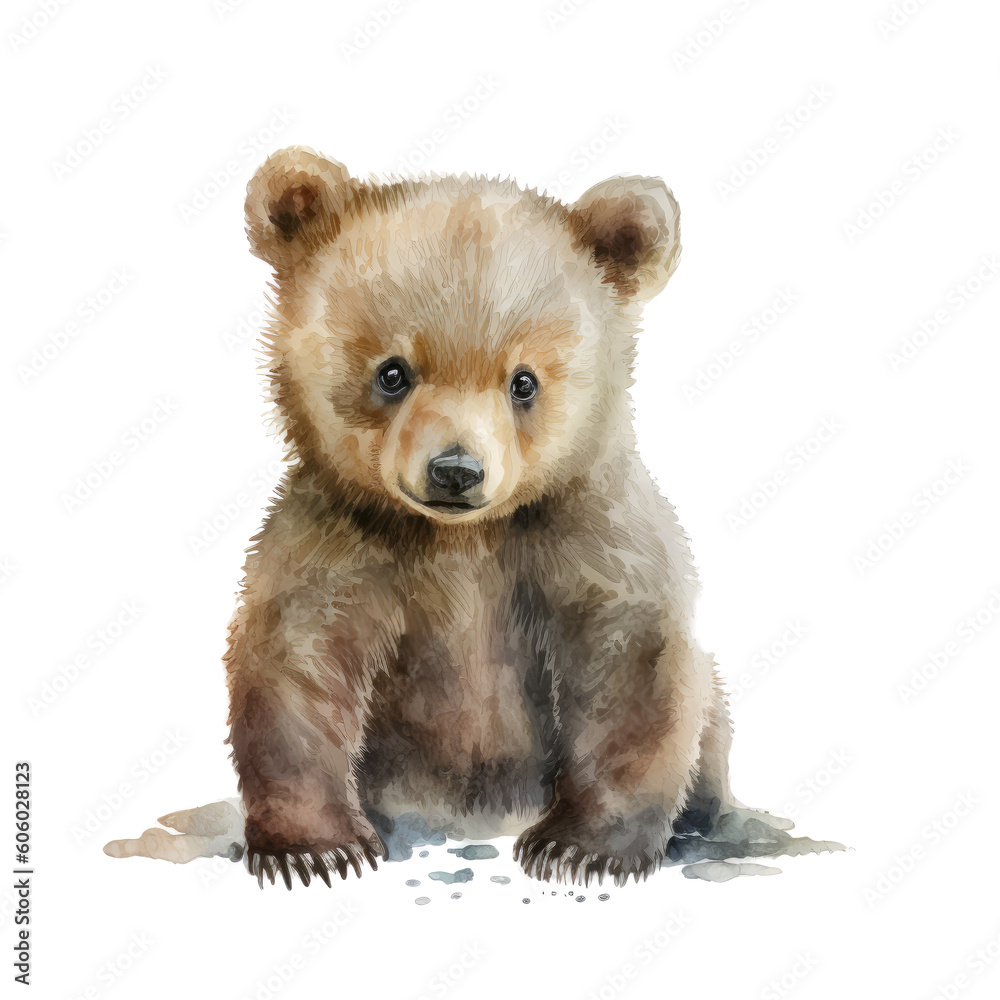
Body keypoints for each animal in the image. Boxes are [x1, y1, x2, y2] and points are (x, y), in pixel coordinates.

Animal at [221, 145, 785, 890]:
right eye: (393, 371)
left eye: (524, 381)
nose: (456, 471)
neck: (460, 539)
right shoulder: (343, 538)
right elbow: (298, 660)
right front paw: (317, 849)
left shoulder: (584, 534)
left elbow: (630, 662)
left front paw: (580, 848)